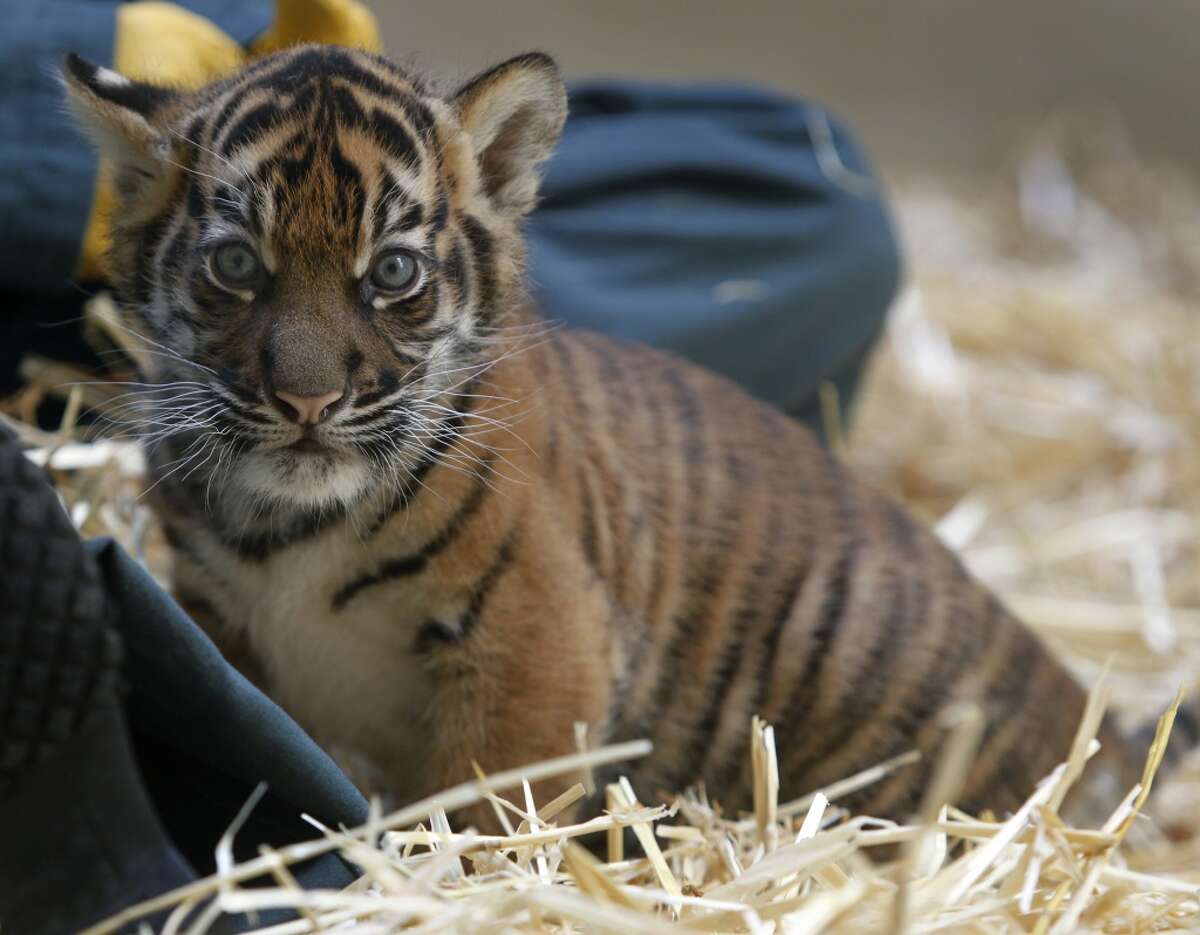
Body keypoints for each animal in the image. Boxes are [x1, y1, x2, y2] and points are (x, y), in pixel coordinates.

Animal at [61, 44, 1196, 831]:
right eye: (236, 265)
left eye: (391, 273)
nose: (305, 401)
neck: (289, 526)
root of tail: (1093, 727)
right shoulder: (224, 618)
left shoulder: (538, 635)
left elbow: (486, 810)